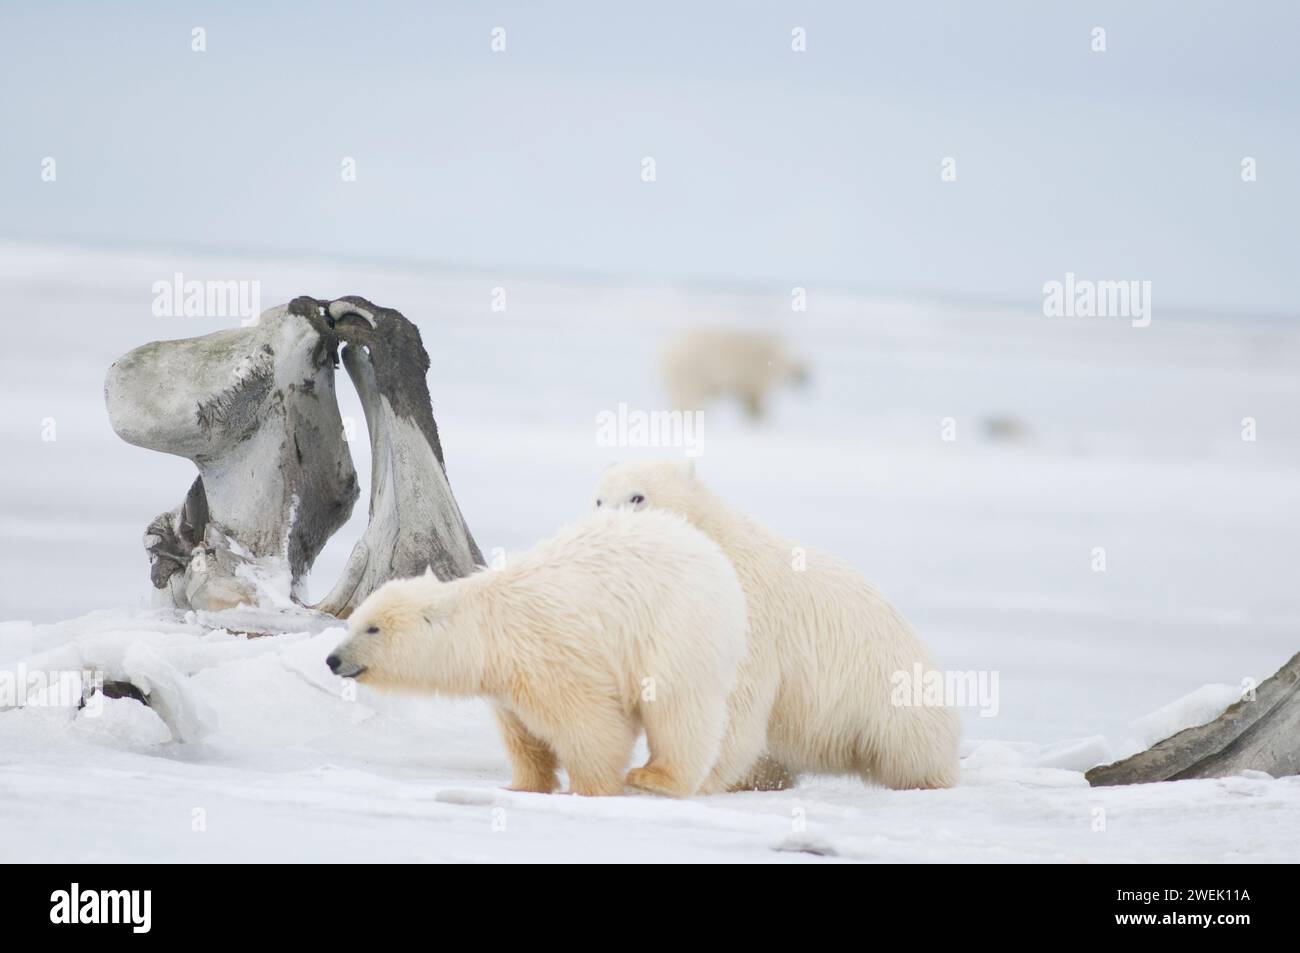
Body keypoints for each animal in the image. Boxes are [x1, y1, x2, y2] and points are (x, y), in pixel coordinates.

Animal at [326, 508, 748, 798]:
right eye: (354, 621)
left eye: (373, 628)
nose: (333, 659)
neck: (487, 633)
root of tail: (716, 561)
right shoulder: (503, 680)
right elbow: (522, 735)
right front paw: (521, 785)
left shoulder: (549, 654)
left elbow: (591, 724)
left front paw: (589, 788)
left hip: (676, 627)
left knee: (677, 706)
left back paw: (657, 777)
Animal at [591, 460, 961, 793]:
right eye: (598, 499)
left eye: (638, 496)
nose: (605, 523)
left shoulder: (747, 613)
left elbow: (733, 698)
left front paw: (663, 778)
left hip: (888, 696)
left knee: (911, 746)